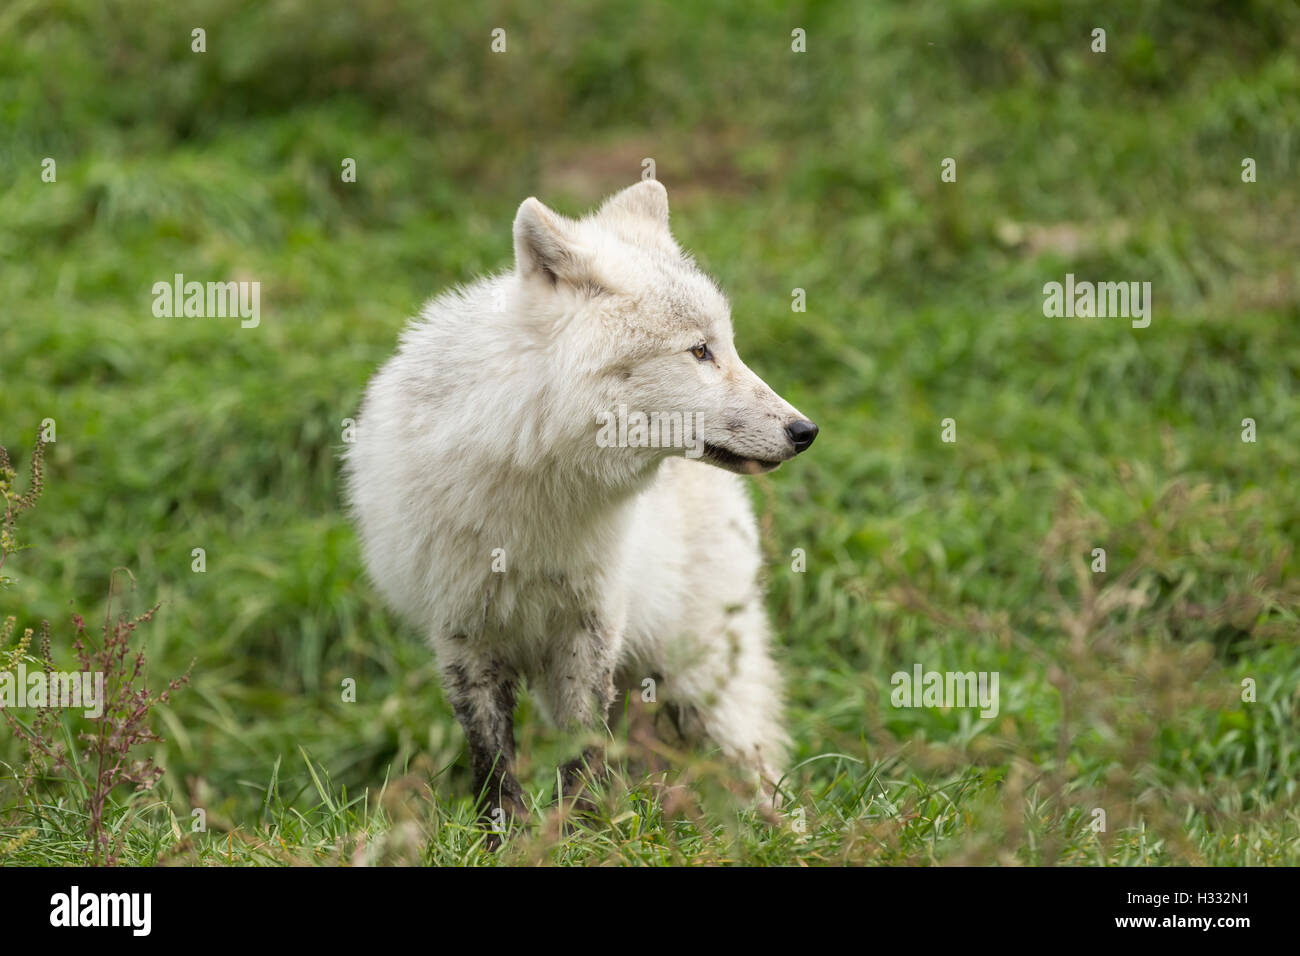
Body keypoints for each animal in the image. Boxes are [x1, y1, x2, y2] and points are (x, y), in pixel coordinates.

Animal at [343, 181, 818, 827]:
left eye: (728, 346)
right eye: (700, 351)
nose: (805, 430)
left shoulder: (589, 627)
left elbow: (585, 747)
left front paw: (585, 832)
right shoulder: (462, 634)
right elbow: (492, 763)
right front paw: (507, 838)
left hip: (700, 682)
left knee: (761, 773)